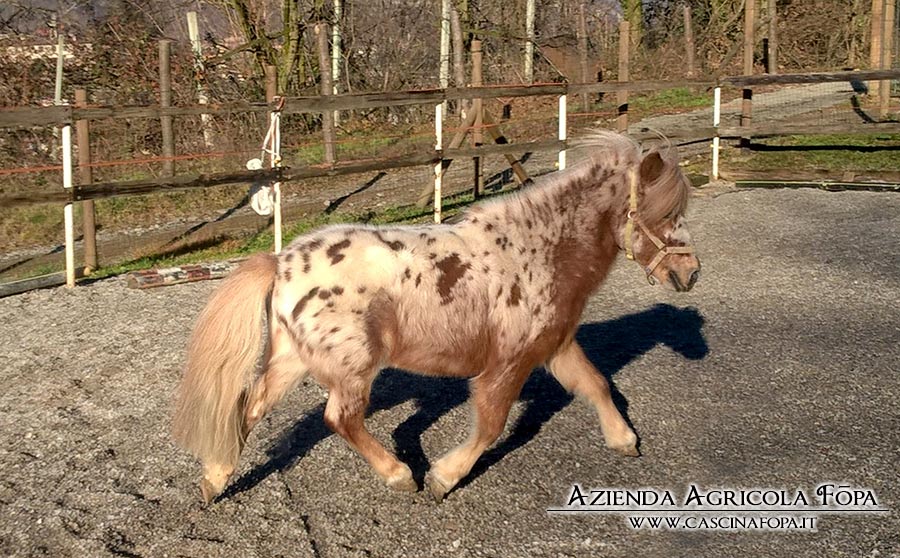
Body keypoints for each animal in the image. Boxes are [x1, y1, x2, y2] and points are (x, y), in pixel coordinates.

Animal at [172, 131, 702, 504]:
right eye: (662, 215)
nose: (690, 273)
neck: (538, 250)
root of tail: (281, 262)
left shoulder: (554, 345)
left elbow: (594, 384)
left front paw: (624, 440)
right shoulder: (508, 362)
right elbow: (491, 425)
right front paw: (443, 478)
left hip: (292, 361)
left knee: (251, 406)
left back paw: (214, 479)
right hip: (352, 367)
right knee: (339, 418)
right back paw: (399, 475)